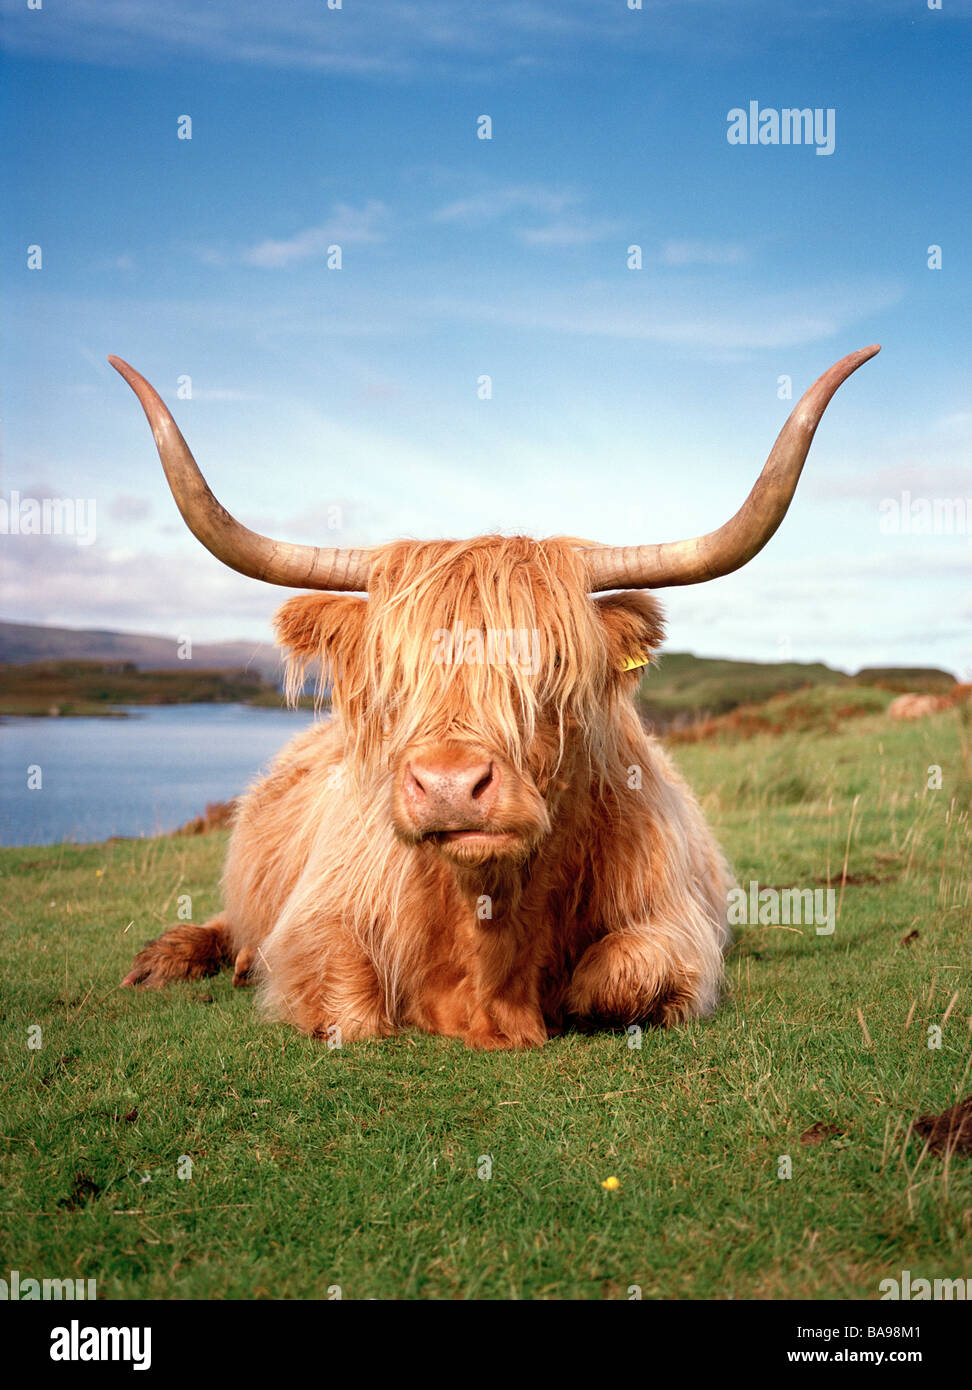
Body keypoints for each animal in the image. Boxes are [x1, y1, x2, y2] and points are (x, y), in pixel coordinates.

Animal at [110, 345, 879, 1048]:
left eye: (550, 669)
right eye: (394, 675)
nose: (449, 786)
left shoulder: (677, 923)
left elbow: (621, 976)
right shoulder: (319, 914)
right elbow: (349, 1007)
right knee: (236, 922)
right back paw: (174, 959)